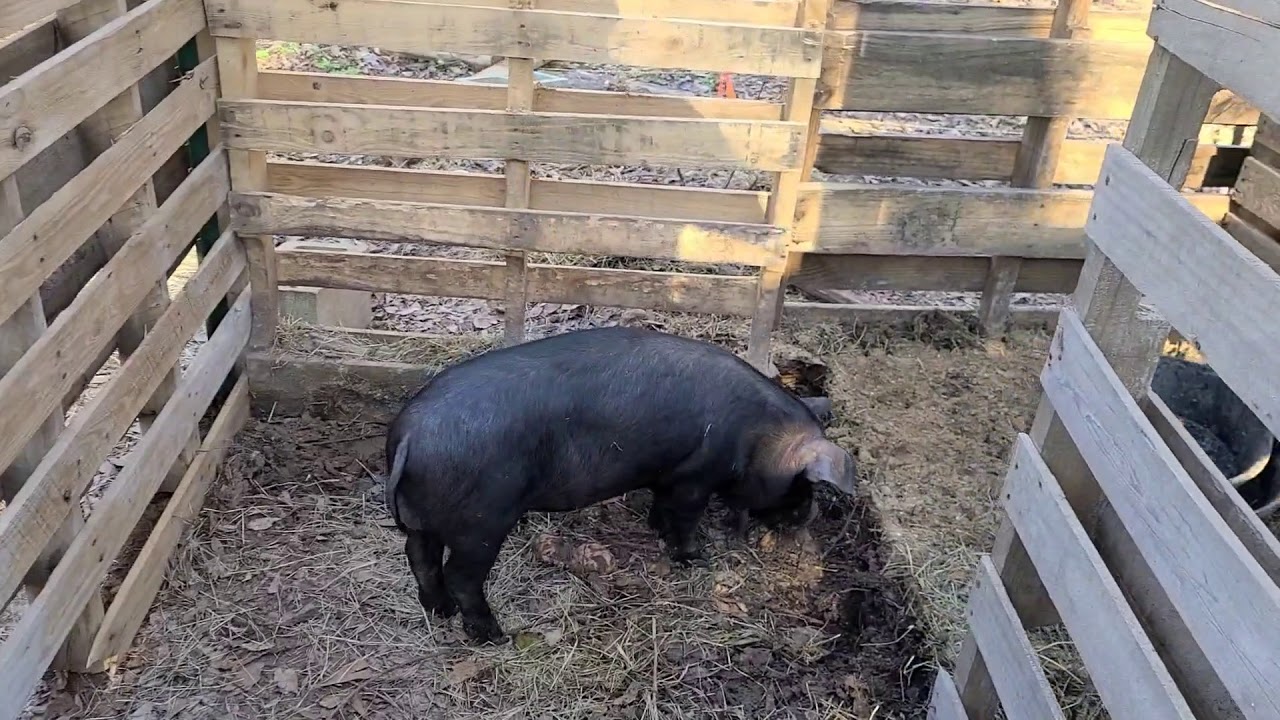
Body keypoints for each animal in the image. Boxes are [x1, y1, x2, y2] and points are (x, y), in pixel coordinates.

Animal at [384, 326, 857, 644]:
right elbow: (686, 517)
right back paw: (495, 635)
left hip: (427, 517)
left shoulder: (669, 474)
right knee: (460, 574)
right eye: (804, 483)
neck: (757, 439)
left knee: (420, 557)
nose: (807, 515)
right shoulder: (696, 475)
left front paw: (657, 530)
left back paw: (439, 612)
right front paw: (696, 558)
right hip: (482, 520)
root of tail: (410, 435)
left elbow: (662, 508)